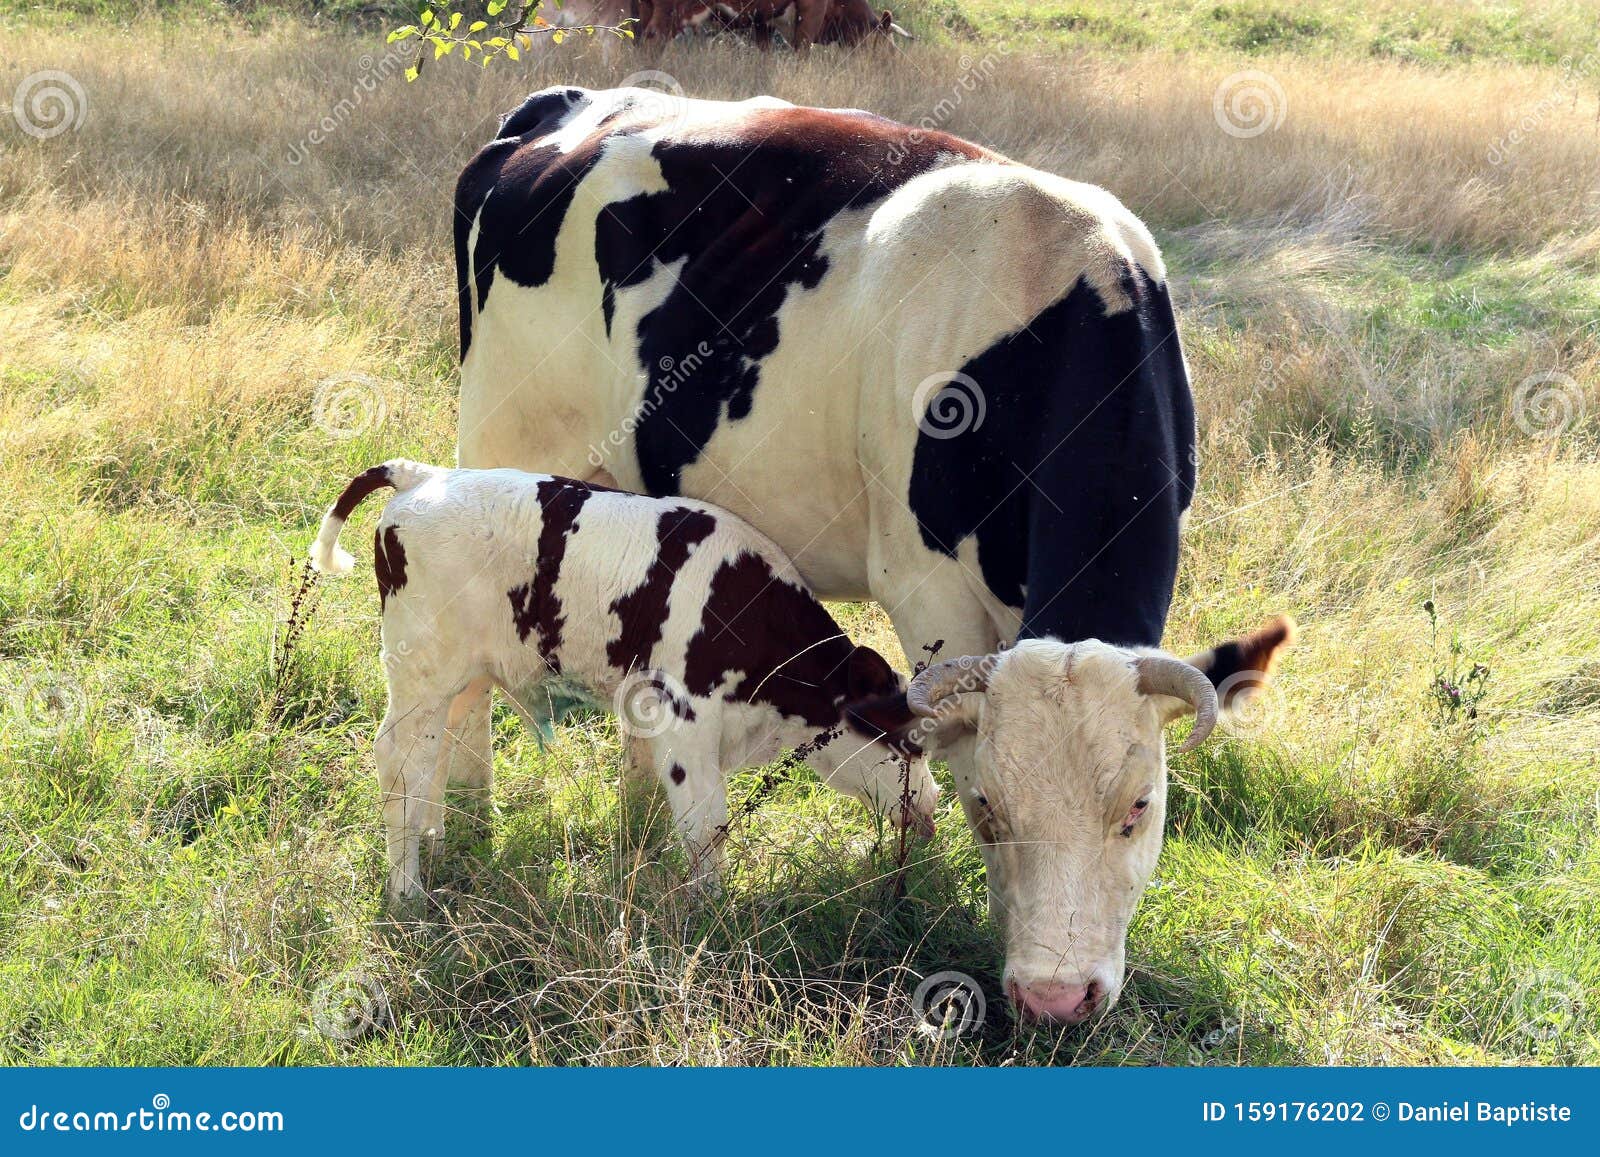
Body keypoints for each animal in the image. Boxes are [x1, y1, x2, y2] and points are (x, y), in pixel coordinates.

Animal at [308, 460, 939, 906]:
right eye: (907, 743)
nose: (933, 811)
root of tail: (425, 475)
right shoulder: (685, 722)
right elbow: (706, 826)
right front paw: (712, 911)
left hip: (455, 678)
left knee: (430, 756)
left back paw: (433, 845)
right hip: (421, 666)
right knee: (397, 758)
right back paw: (406, 892)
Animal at [451, 87, 1295, 1024]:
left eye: (1138, 807)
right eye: (990, 807)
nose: (1055, 996)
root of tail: (566, 105)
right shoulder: (926, 591)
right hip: (497, 440)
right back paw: (466, 824)